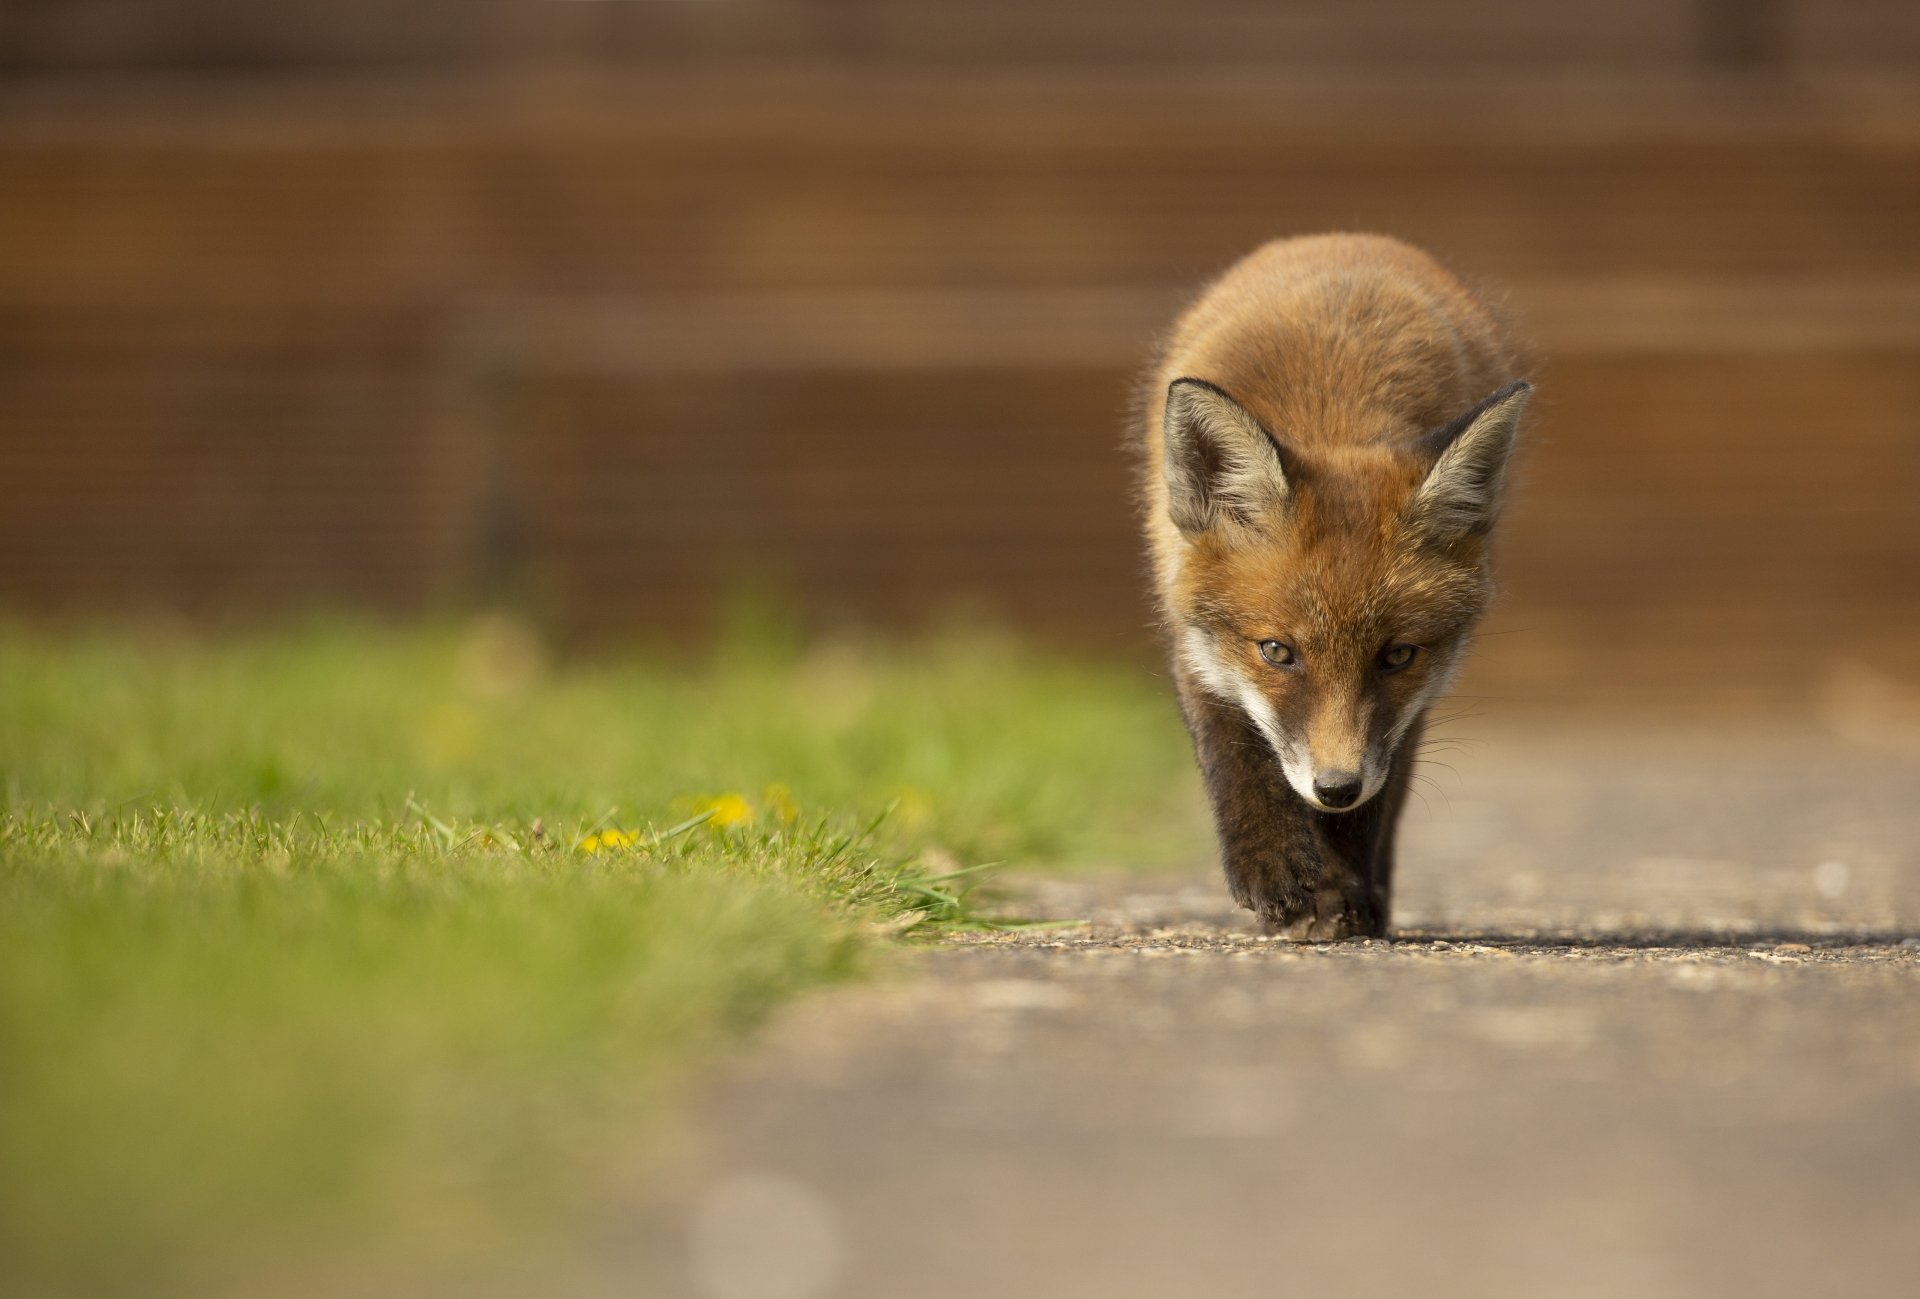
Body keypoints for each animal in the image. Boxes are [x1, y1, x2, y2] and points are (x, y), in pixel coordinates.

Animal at [1141, 233, 1531, 940]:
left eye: (1397, 654)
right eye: (1277, 652)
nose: (1336, 788)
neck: (1334, 416)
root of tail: (1347, 239)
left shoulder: (1404, 710)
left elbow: (1375, 803)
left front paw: (1341, 892)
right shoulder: (1193, 631)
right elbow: (1233, 751)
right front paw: (1274, 871)